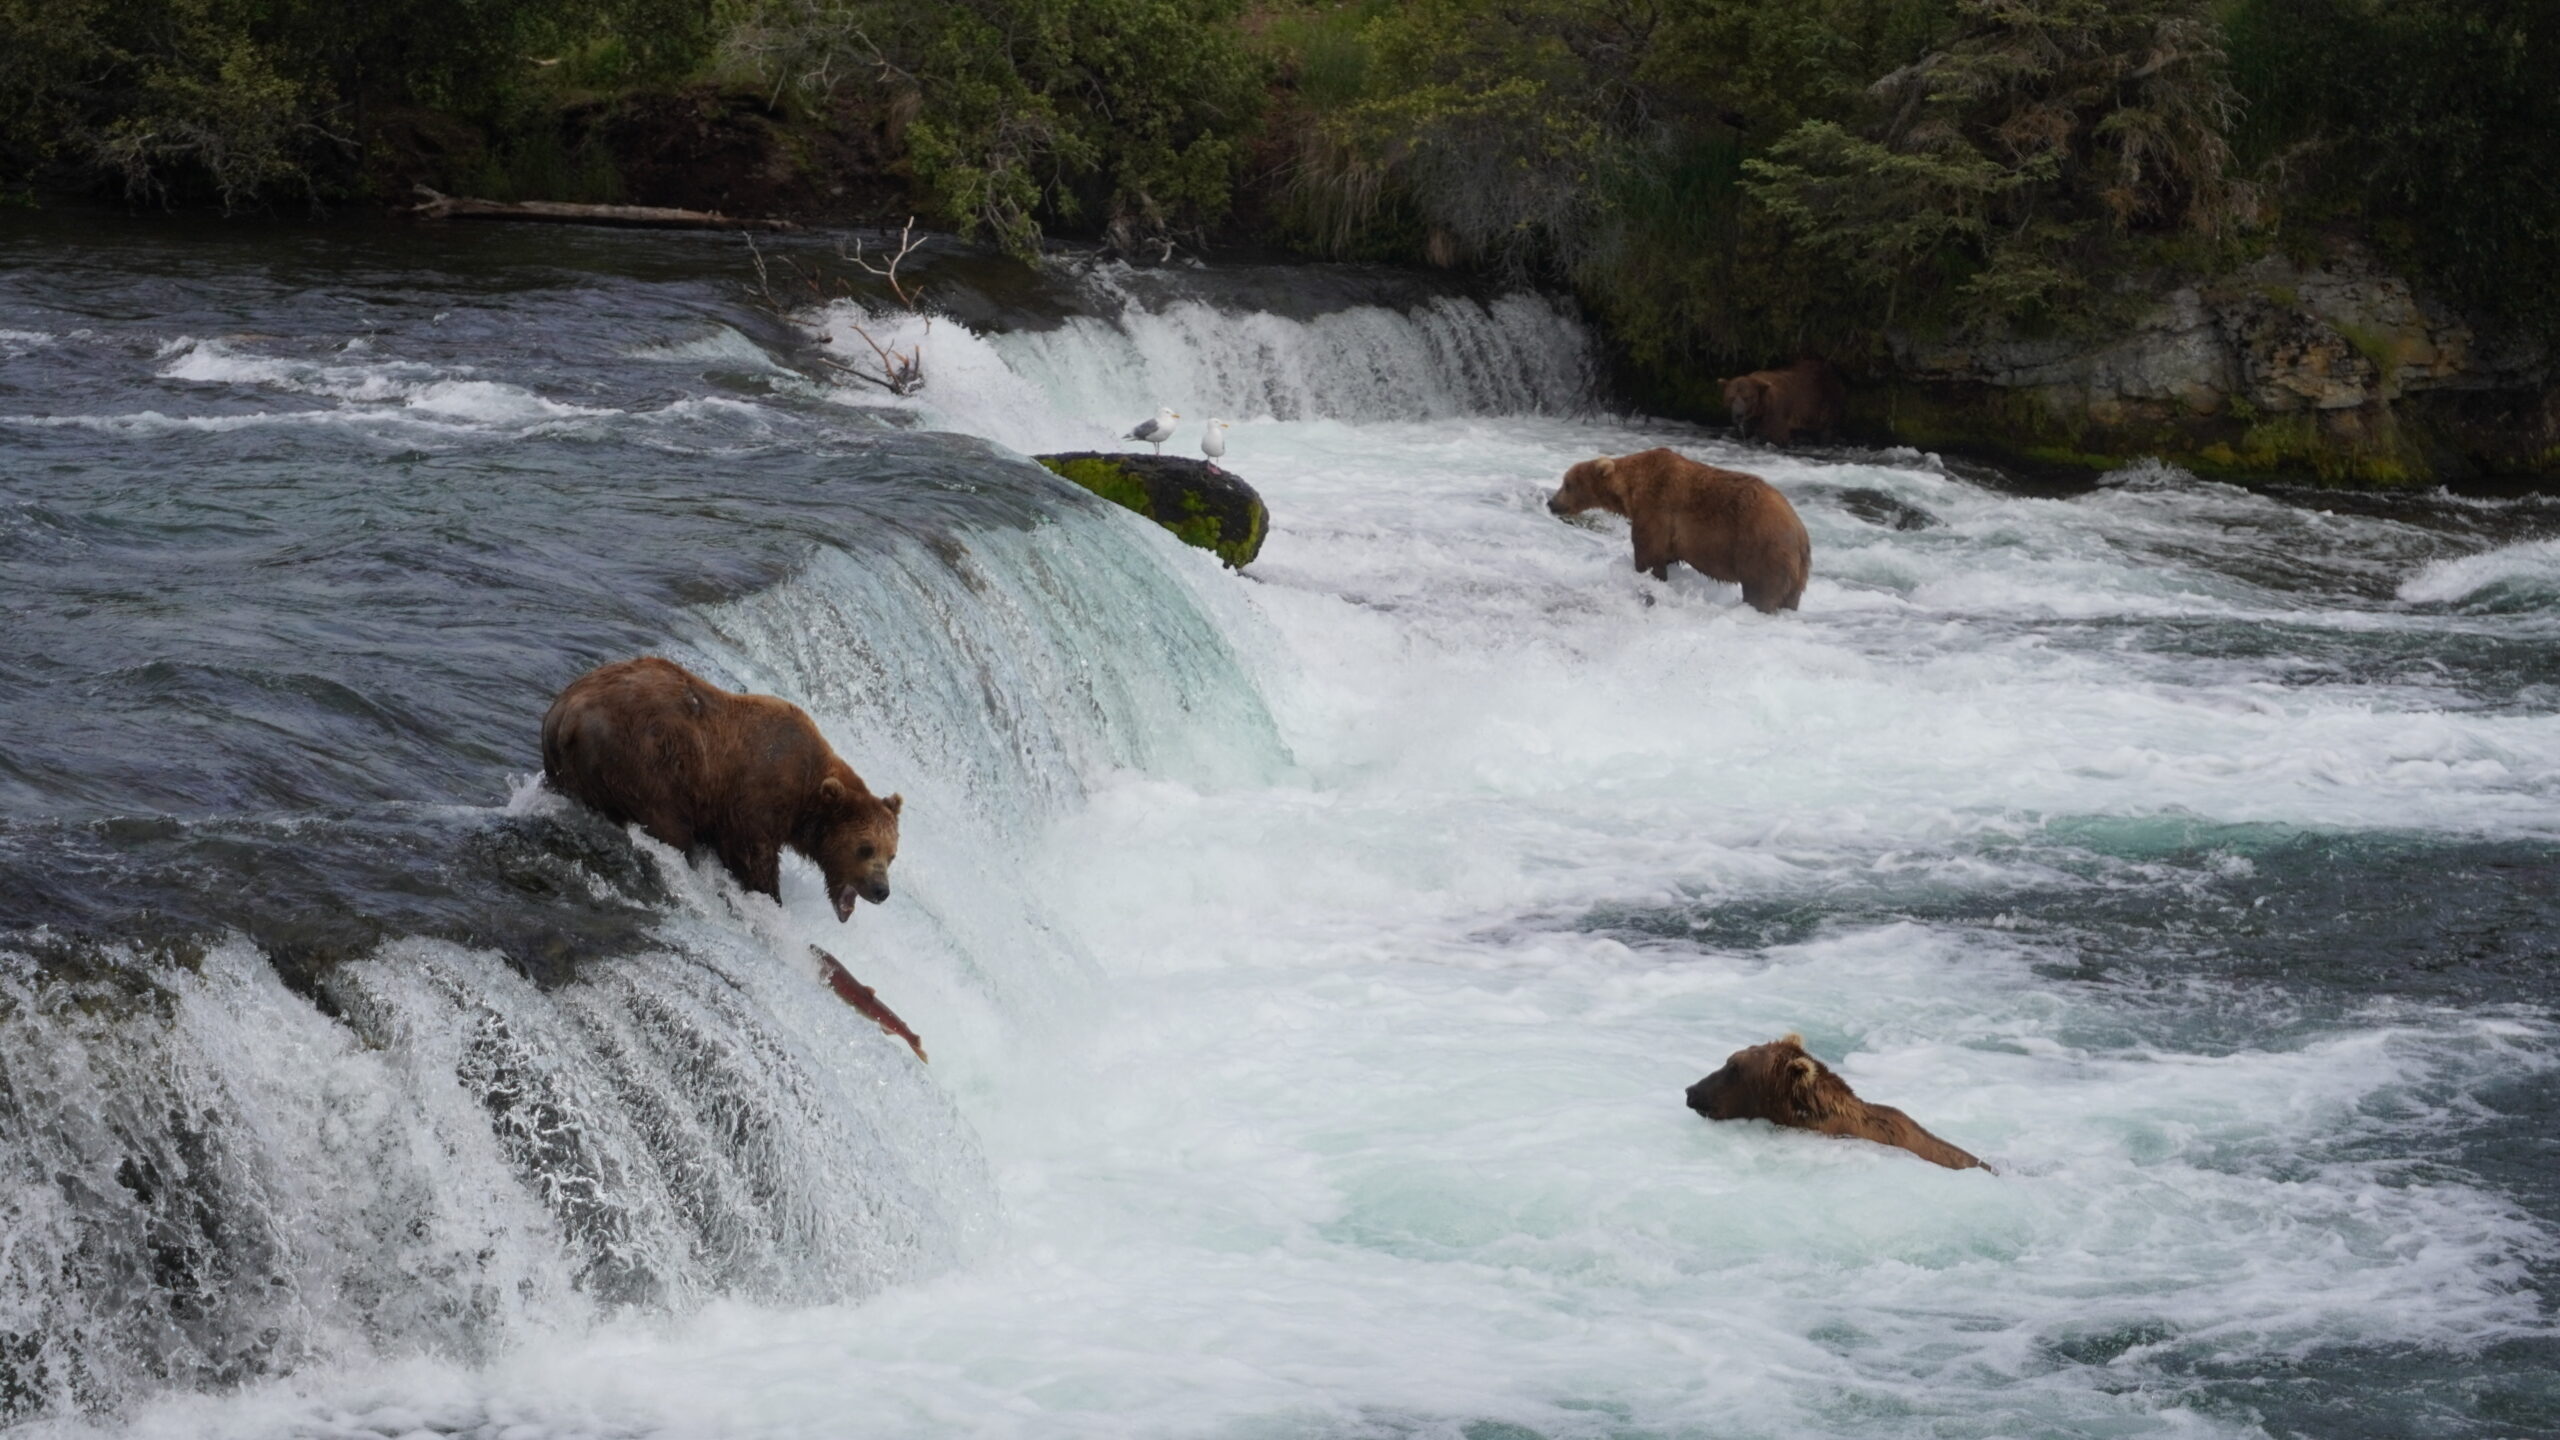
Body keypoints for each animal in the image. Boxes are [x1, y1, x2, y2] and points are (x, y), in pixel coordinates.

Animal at [540, 656, 901, 922]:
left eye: (892, 854)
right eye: (866, 848)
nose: (881, 890)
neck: (807, 795)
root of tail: (566, 713)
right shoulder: (755, 797)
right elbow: (752, 856)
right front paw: (770, 898)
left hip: (569, 768)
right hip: (643, 760)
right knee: (668, 824)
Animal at [1548, 448, 1811, 612]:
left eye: (1567, 484)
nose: (1551, 502)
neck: (1631, 489)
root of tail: (1800, 533)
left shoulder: (1657, 510)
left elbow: (1648, 554)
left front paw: (1649, 576)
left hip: (1762, 551)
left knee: (1761, 592)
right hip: (1798, 572)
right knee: (1791, 598)